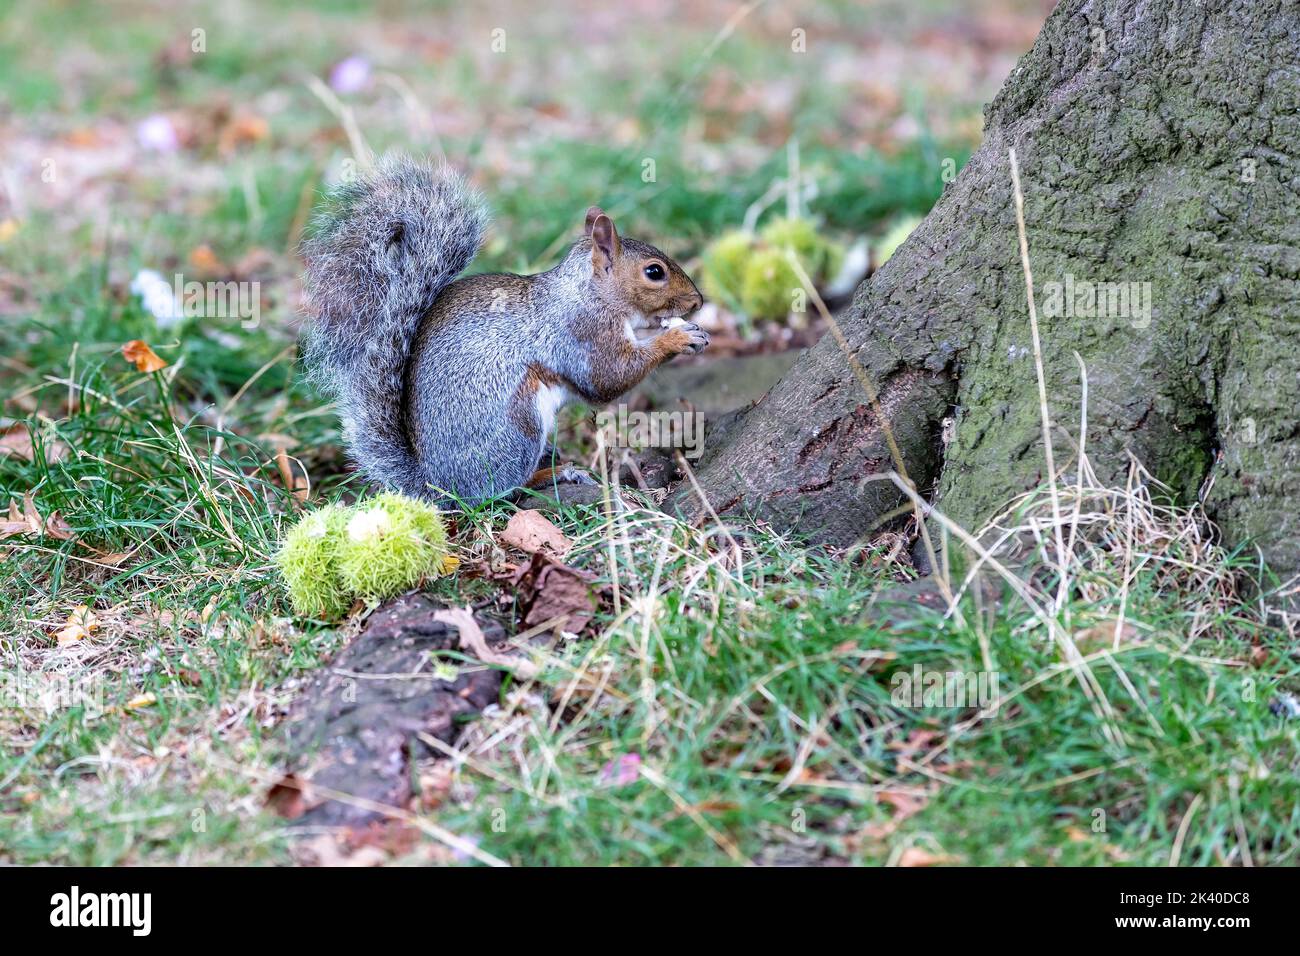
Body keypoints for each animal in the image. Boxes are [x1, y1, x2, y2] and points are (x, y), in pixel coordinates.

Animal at [301, 154, 708, 503]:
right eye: (654, 272)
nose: (698, 301)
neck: (588, 293)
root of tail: (435, 483)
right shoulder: (583, 333)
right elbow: (608, 378)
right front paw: (677, 337)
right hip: (518, 424)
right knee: (502, 489)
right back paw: (554, 473)